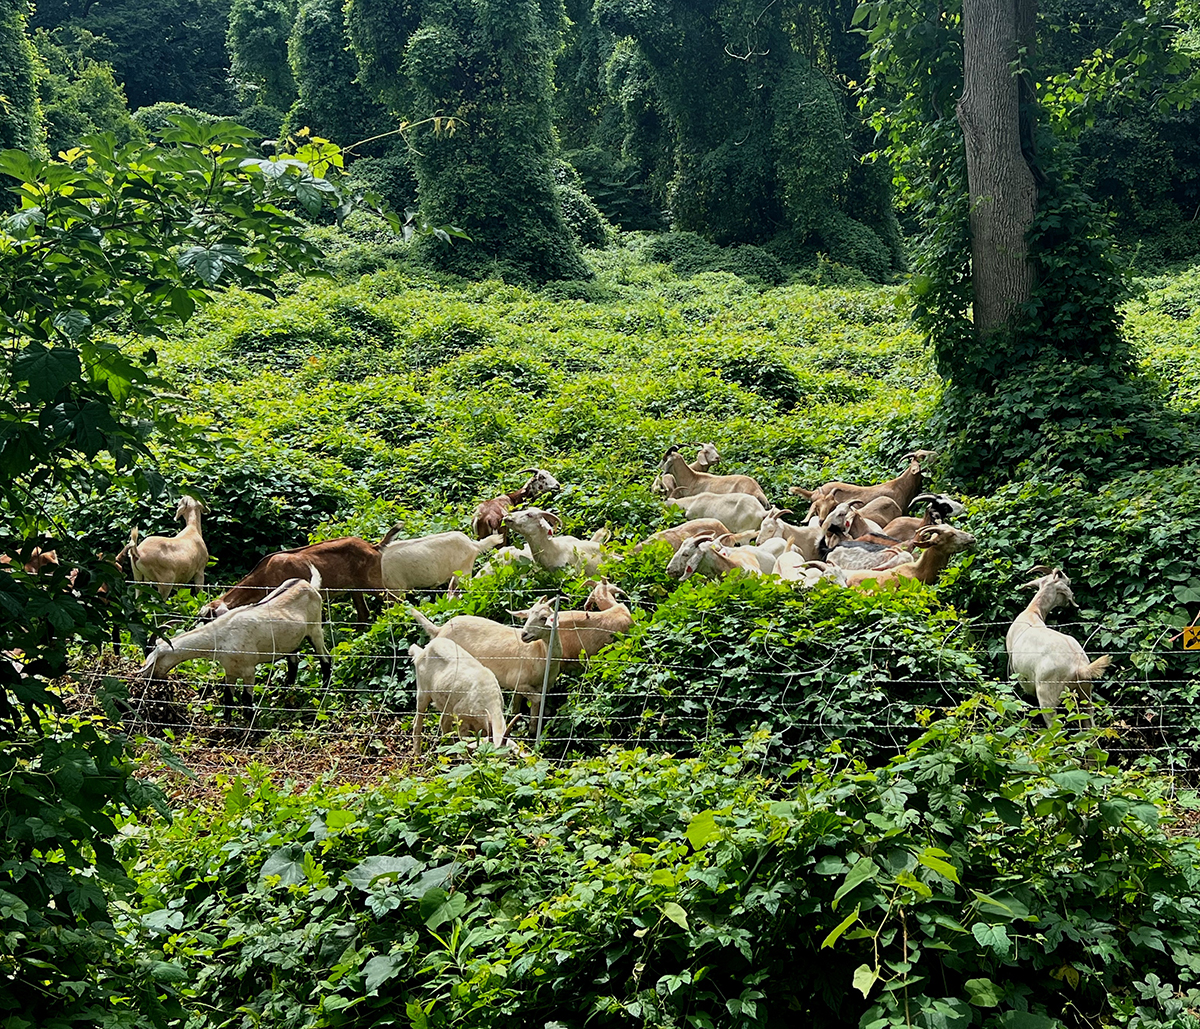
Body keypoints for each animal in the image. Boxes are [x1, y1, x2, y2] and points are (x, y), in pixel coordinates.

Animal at [138, 567, 330, 719]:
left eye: (154, 661)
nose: (144, 679)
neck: (221, 635)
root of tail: (309, 586)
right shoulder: (230, 669)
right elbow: (228, 697)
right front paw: (227, 723)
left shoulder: (249, 670)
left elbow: (246, 699)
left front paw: (249, 727)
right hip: (289, 640)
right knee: (293, 662)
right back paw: (284, 691)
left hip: (315, 629)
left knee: (325, 658)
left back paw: (323, 689)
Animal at [409, 604, 564, 721]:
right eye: (527, 617)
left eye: (544, 618)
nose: (523, 634)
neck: (540, 651)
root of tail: (440, 630)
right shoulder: (519, 682)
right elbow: (537, 701)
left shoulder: (538, 687)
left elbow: (528, 708)